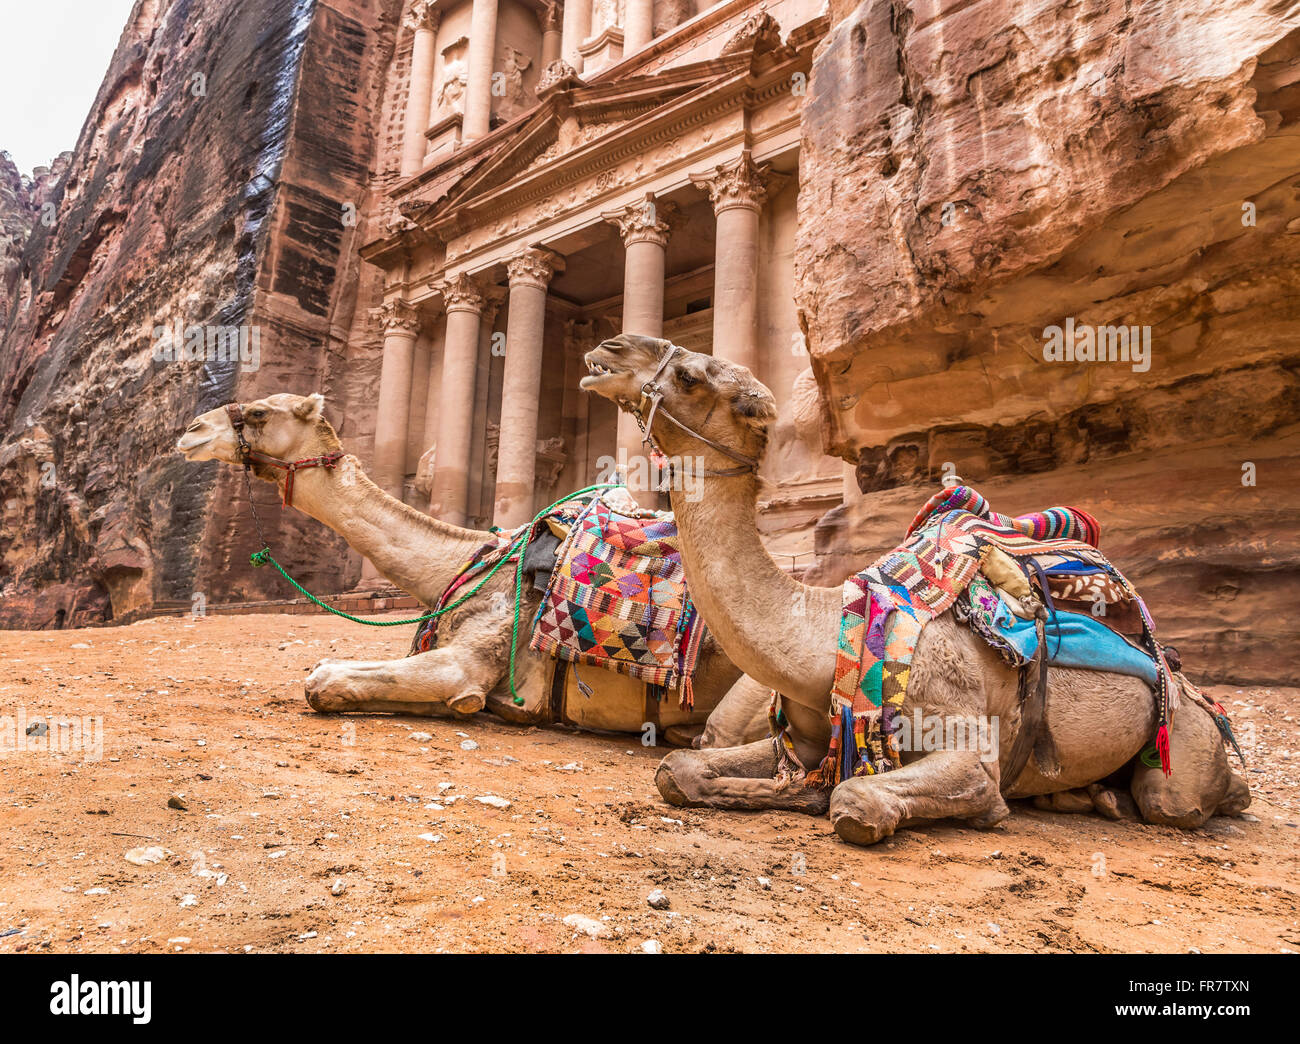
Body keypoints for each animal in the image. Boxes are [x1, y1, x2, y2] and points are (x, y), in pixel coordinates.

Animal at [175, 393, 767, 745]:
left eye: (260, 413)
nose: (191, 429)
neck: (463, 564)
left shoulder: (472, 654)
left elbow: (321, 680)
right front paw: (464, 709)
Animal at [580, 334, 1251, 844]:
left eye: (690, 376)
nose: (608, 349)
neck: (824, 634)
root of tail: (1178, 673)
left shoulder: (965, 740)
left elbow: (859, 799)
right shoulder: (804, 736)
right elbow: (677, 769)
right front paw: (783, 791)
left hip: (1181, 735)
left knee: (1177, 799)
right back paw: (1086, 797)